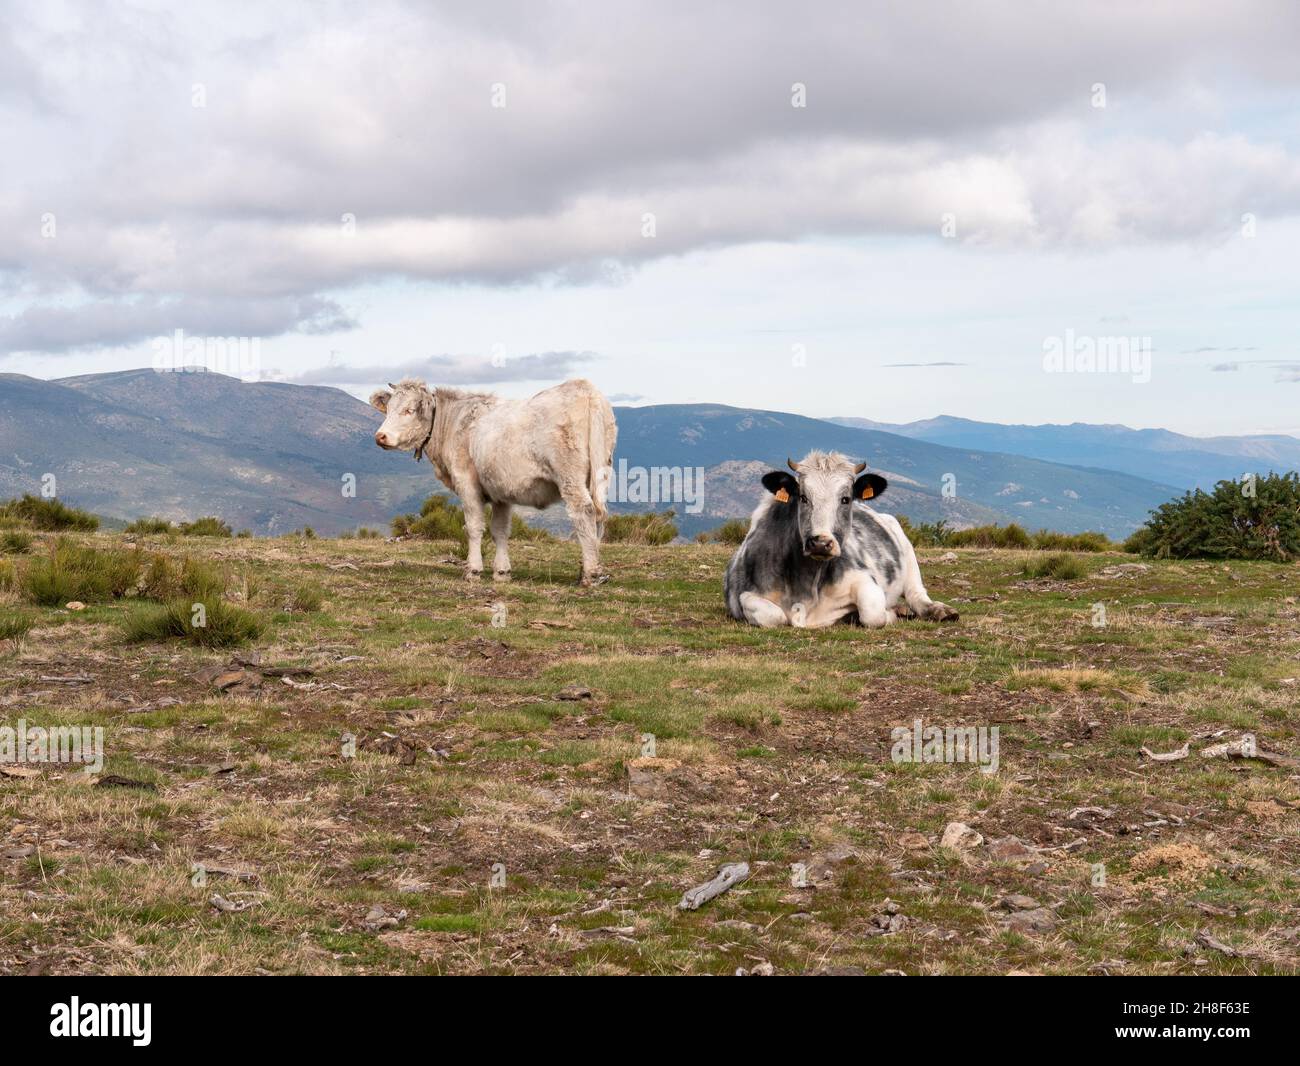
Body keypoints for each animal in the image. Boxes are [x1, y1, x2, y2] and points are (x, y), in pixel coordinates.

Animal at [369, 377, 617, 586]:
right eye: (388, 409)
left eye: (409, 410)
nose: (380, 436)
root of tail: (585, 387)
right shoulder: (501, 492)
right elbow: (500, 530)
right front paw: (502, 572)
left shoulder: (466, 483)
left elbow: (474, 527)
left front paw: (473, 570)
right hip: (601, 475)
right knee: (599, 516)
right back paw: (591, 569)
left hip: (570, 478)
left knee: (584, 512)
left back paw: (590, 574)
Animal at [724, 450, 958, 629]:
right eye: (803, 497)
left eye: (845, 499)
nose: (820, 542)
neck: (808, 583)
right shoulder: (741, 594)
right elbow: (774, 616)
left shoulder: (863, 577)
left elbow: (873, 613)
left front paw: (887, 614)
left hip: (907, 552)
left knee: (917, 594)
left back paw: (940, 611)